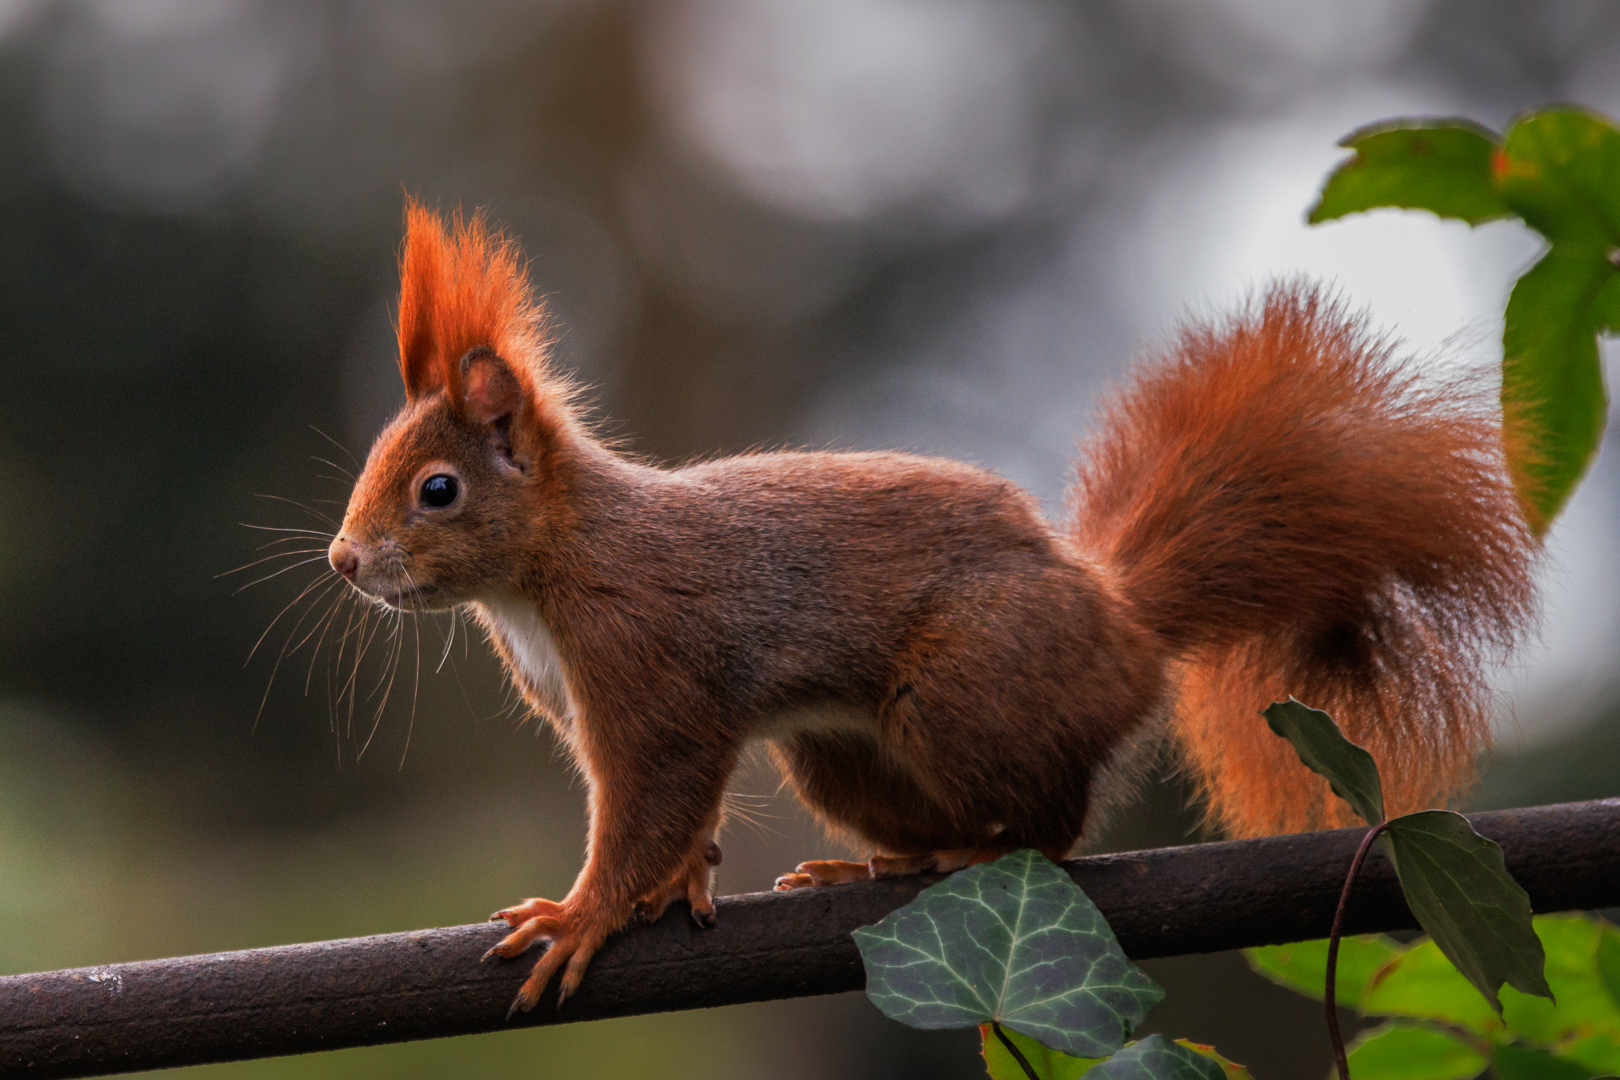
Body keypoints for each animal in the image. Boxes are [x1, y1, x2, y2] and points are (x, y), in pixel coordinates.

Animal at [327, 201, 1539, 1015]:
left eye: (438, 490)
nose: (345, 560)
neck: (544, 575)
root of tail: (1124, 623)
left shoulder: (654, 669)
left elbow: (650, 801)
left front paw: (582, 916)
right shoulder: (593, 708)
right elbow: (672, 817)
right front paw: (673, 885)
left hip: (962, 689)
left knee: (1054, 826)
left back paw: (967, 860)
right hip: (842, 754)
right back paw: (892, 862)